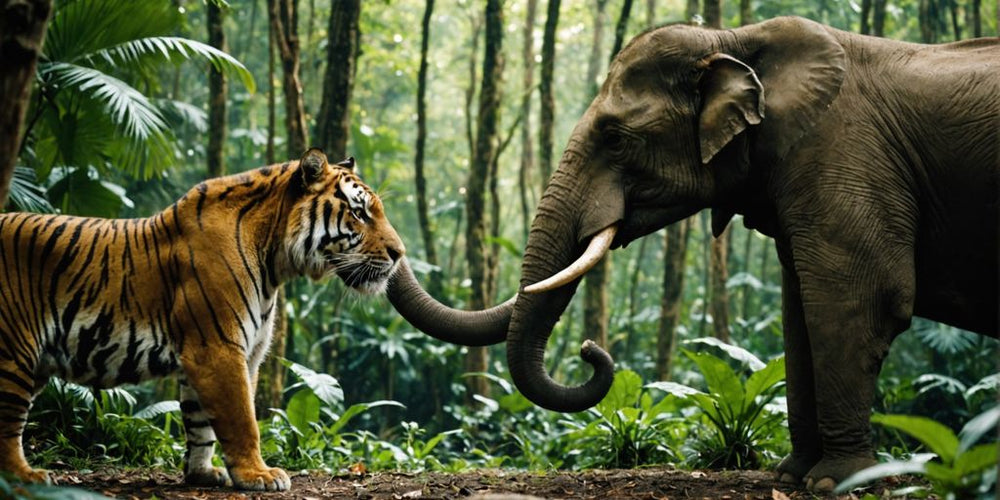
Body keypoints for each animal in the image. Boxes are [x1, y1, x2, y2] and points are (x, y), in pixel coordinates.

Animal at [0, 148, 404, 491]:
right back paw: (25, 475)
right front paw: (257, 474)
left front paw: (203, 473)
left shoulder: (228, 353)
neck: (275, 260)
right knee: (7, 423)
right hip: (14, 352)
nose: (399, 253)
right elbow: (242, 419)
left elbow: (201, 423)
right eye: (359, 213)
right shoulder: (218, 348)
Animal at [503, 16, 999, 492]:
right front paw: (791, 477)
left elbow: (858, 304)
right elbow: (799, 317)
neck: (732, 39)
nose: (590, 348)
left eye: (614, 138)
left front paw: (837, 482)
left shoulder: (846, 157)